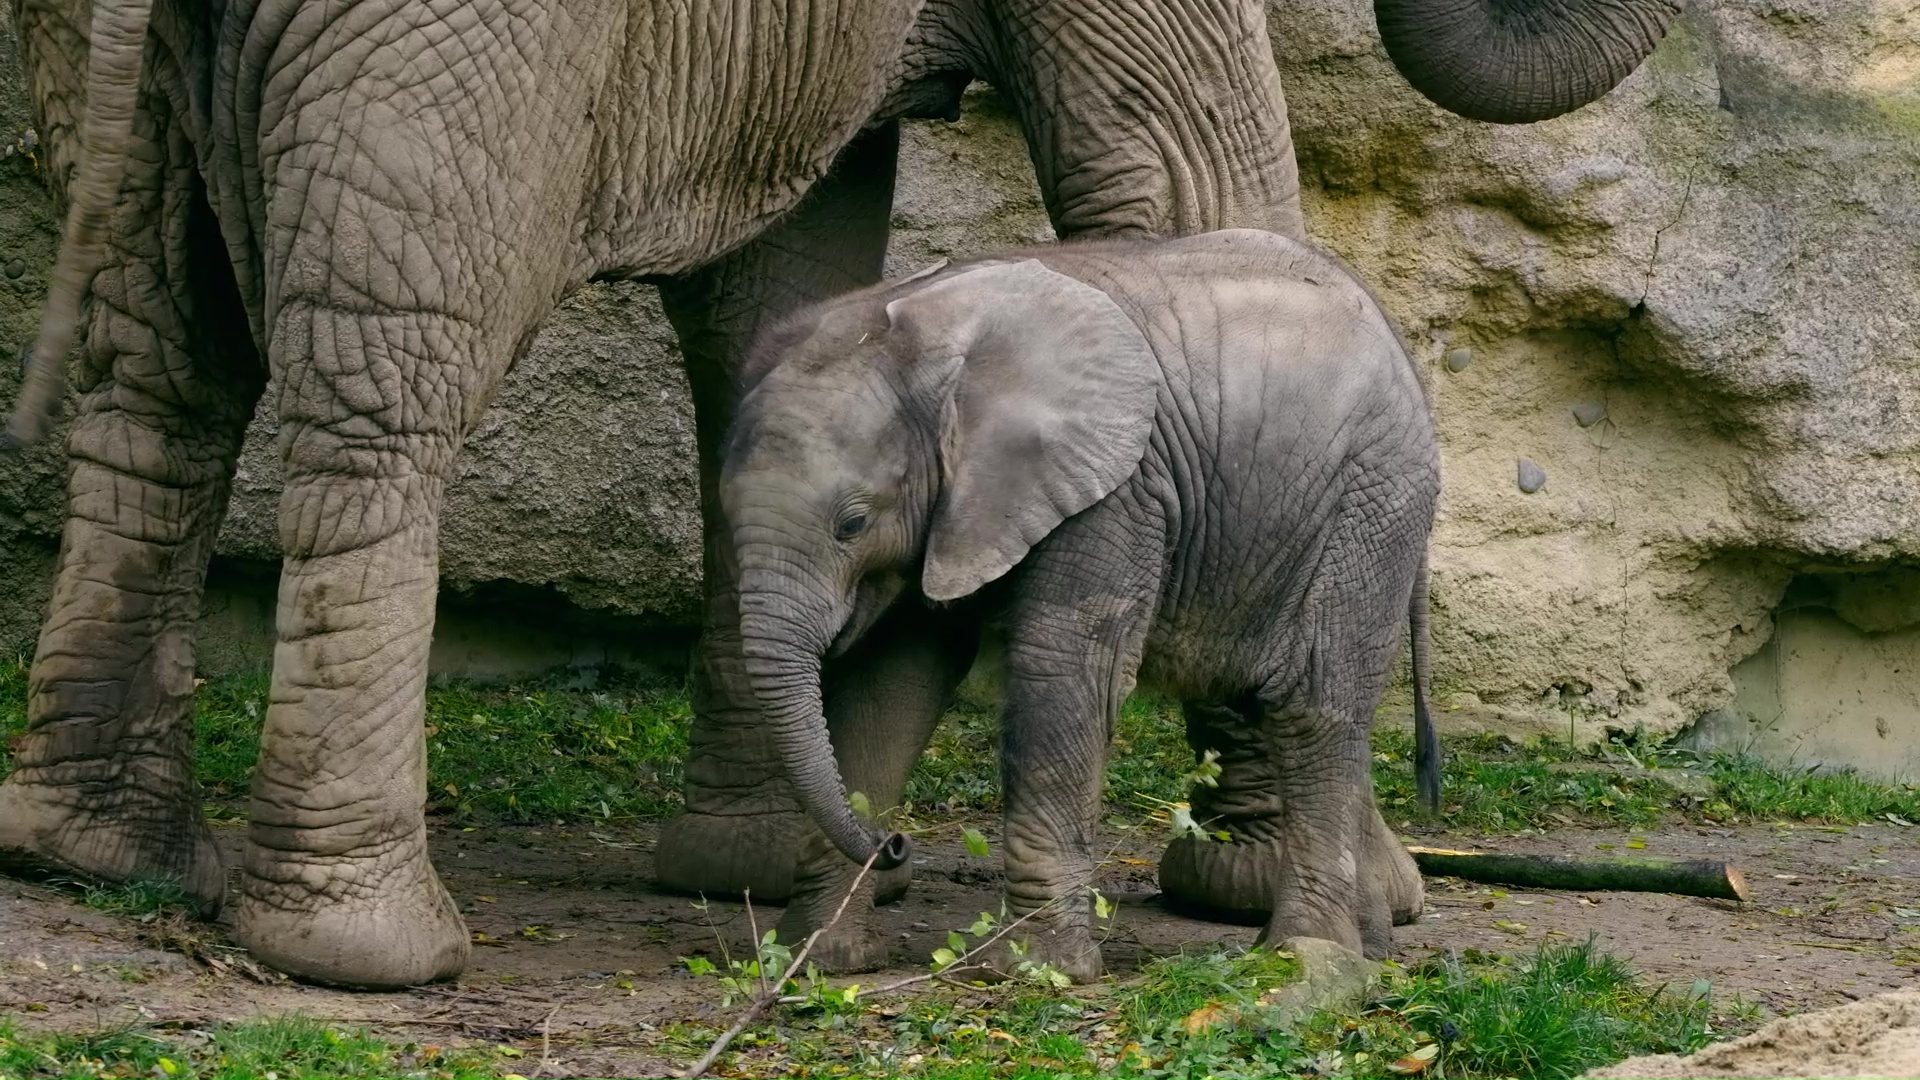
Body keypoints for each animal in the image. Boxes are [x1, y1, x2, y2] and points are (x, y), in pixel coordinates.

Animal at [717, 227, 1441, 979]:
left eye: (852, 524)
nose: (893, 844)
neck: (915, 333)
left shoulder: (1118, 486)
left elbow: (1067, 667)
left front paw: (1041, 970)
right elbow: (888, 689)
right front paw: (814, 960)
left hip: (1372, 501)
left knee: (1311, 703)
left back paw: (1301, 954)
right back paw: (1366, 949)